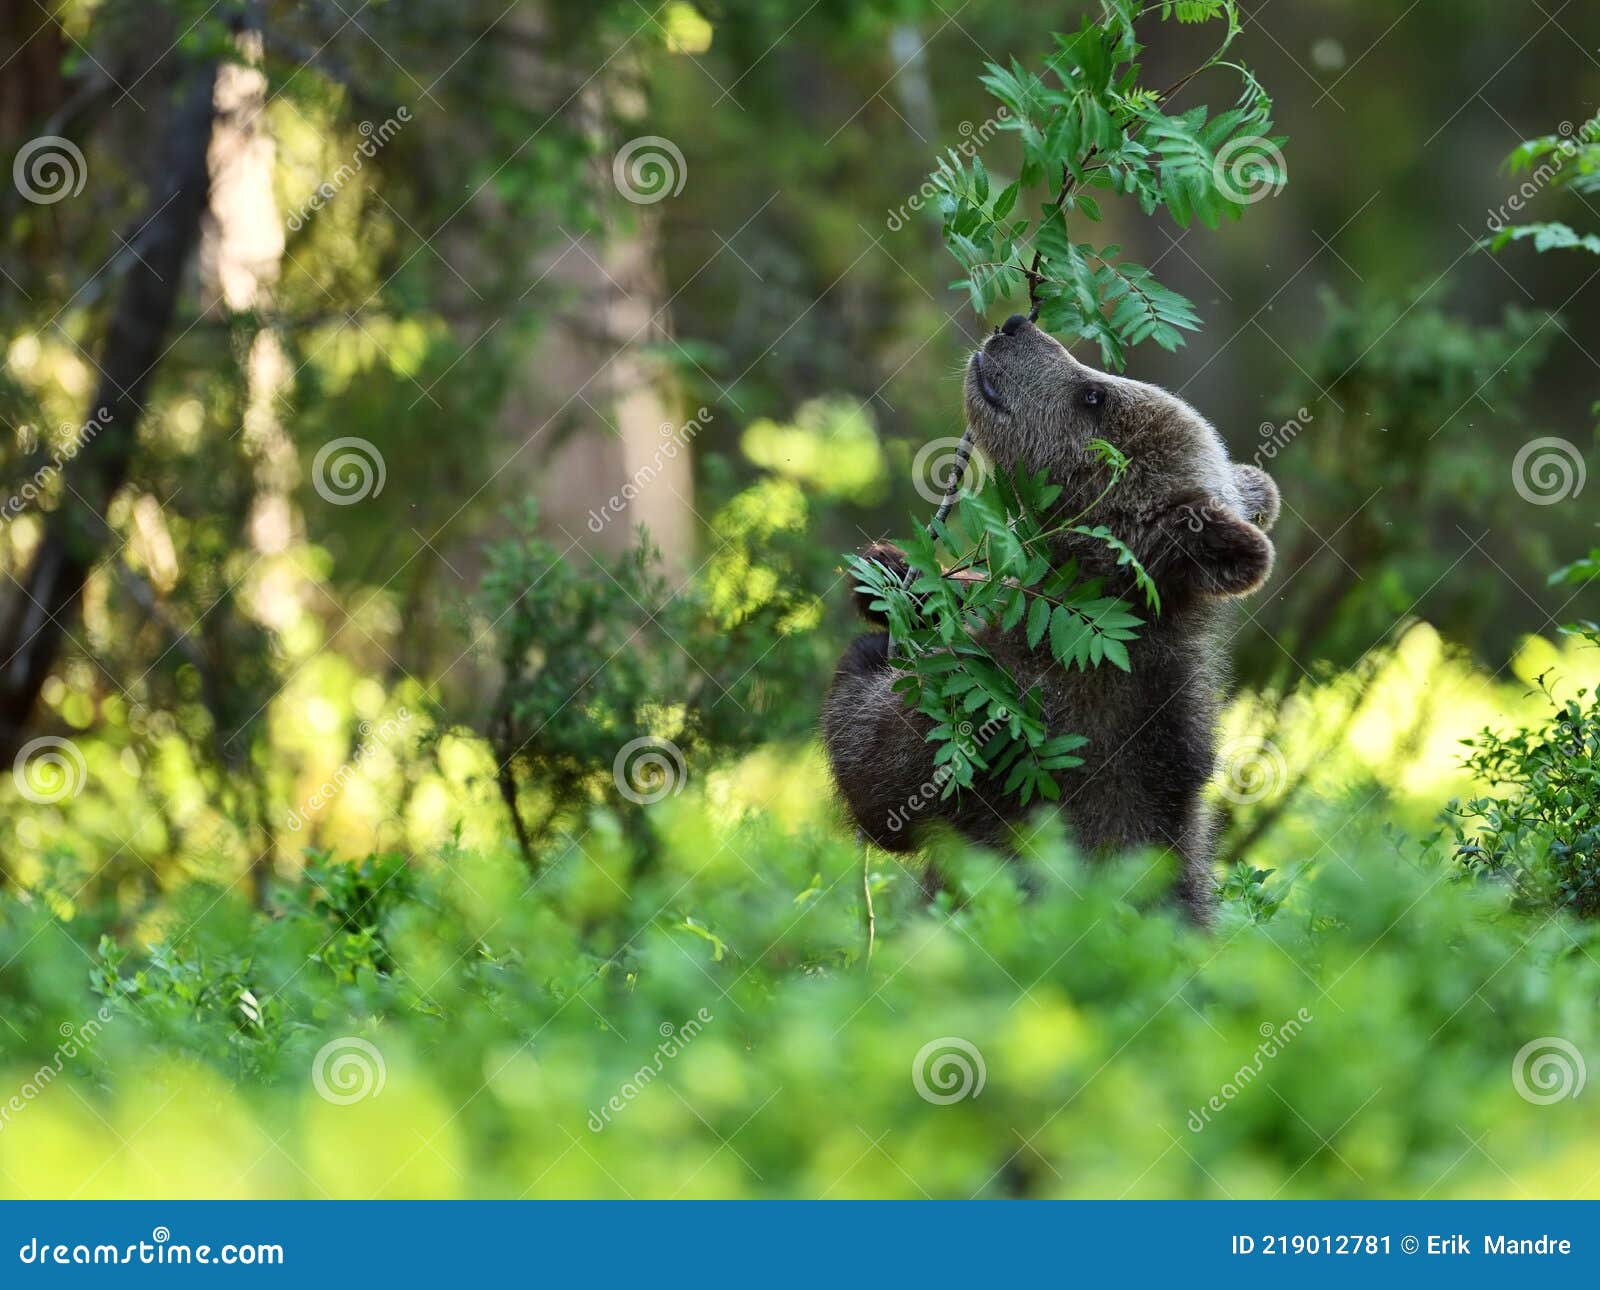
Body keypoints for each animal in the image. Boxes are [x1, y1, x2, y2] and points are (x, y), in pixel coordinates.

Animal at [820, 313, 1280, 923]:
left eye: (1095, 395)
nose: (1015, 325)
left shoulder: (1023, 713)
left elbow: (883, 779)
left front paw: (872, 654)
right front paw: (890, 574)